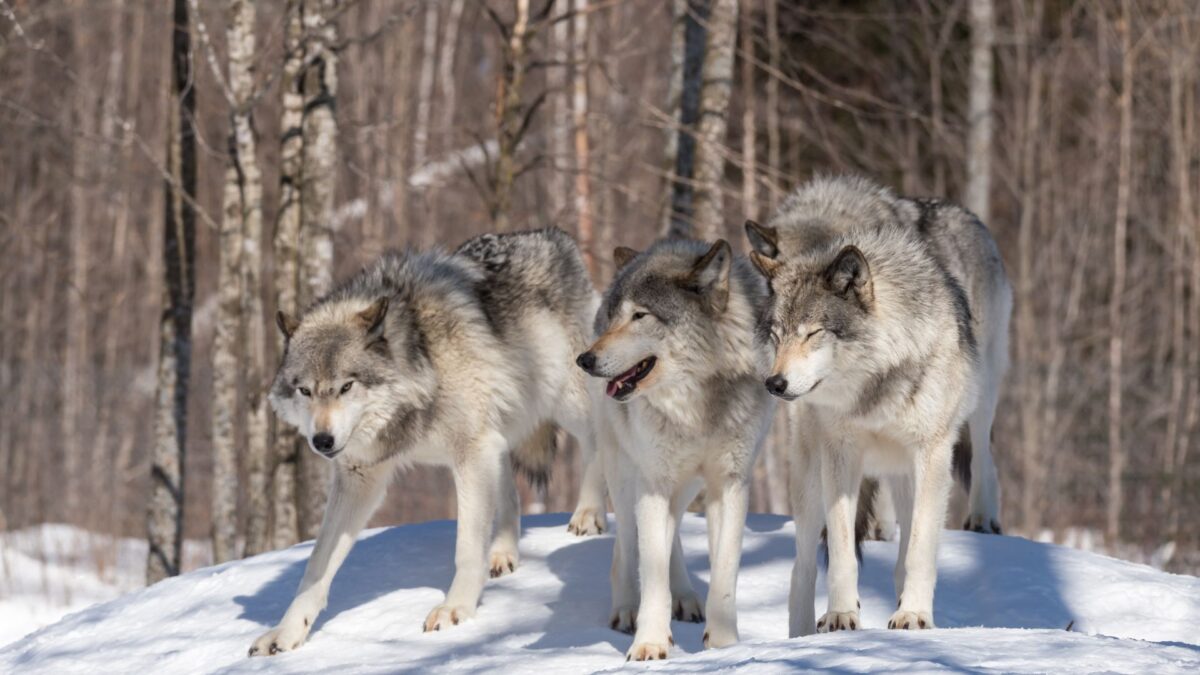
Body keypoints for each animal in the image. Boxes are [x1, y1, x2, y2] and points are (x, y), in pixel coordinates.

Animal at [250, 227, 603, 656]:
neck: (422, 360)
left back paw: (589, 514)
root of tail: (555, 235)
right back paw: (502, 553)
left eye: (346, 386)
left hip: (564, 397)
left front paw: (456, 610)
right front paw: (286, 632)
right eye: (304, 390)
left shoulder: (471, 452)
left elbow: (466, 548)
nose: (322, 441)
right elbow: (316, 566)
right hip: (499, 432)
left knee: (598, 441)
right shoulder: (361, 477)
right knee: (511, 496)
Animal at [576, 239, 775, 661]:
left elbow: (725, 572)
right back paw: (626, 609)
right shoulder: (654, 483)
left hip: (685, 485)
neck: (696, 406)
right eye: (615, 317)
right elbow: (651, 572)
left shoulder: (730, 484)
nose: (584, 359)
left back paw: (684, 596)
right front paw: (649, 643)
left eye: (640, 315)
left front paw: (724, 645)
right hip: (625, 474)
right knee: (627, 547)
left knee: (673, 536)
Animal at [748, 175, 1011, 636]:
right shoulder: (839, 456)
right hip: (810, 470)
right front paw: (840, 615)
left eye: (813, 333)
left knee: (980, 456)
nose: (775, 383)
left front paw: (913, 615)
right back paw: (801, 632)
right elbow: (840, 550)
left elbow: (920, 549)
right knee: (803, 563)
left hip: (978, 398)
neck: (875, 381)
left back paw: (982, 519)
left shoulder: (931, 455)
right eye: (777, 334)